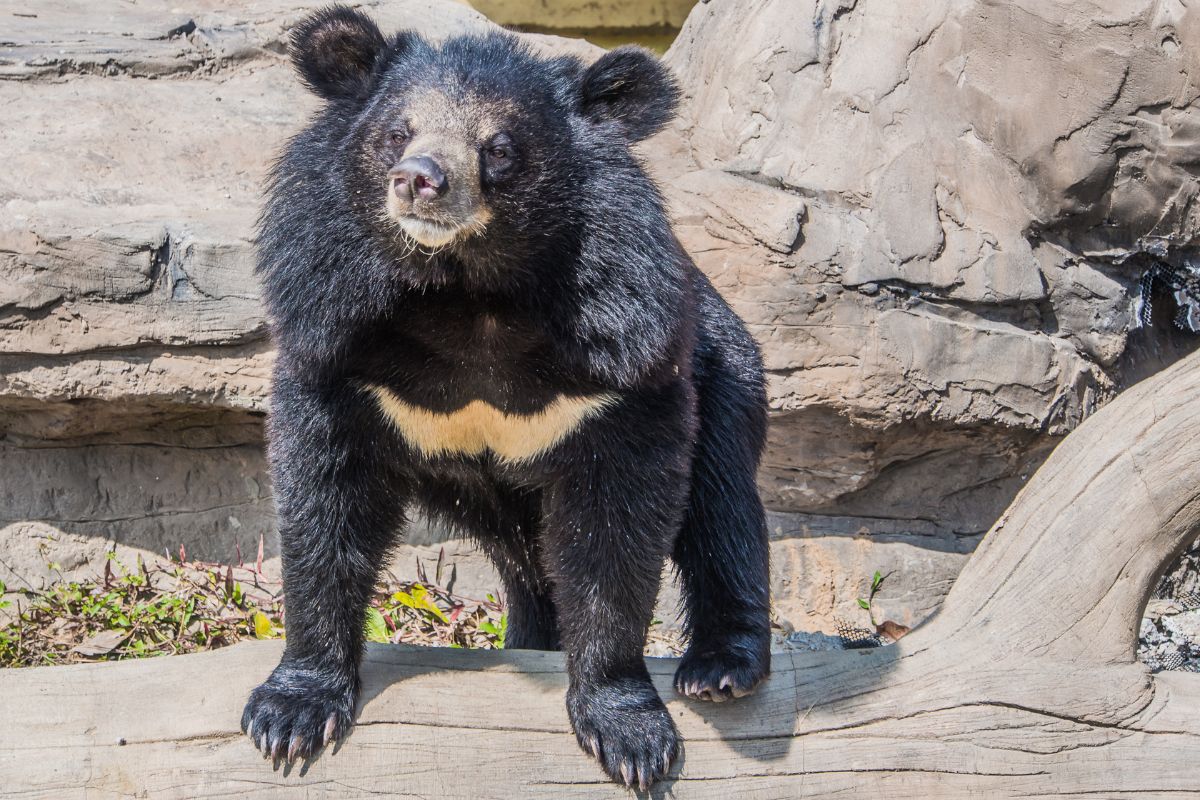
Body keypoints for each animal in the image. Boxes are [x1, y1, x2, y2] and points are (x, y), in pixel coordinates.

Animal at [241, 5, 771, 789]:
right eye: (395, 132)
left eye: (498, 148)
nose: (418, 180)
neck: (470, 294)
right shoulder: (332, 329)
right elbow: (323, 499)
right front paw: (290, 716)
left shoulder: (622, 359)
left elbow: (617, 532)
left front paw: (629, 733)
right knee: (532, 566)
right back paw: (529, 643)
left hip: (726, 368)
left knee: (722, 504)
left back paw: (721, 669)